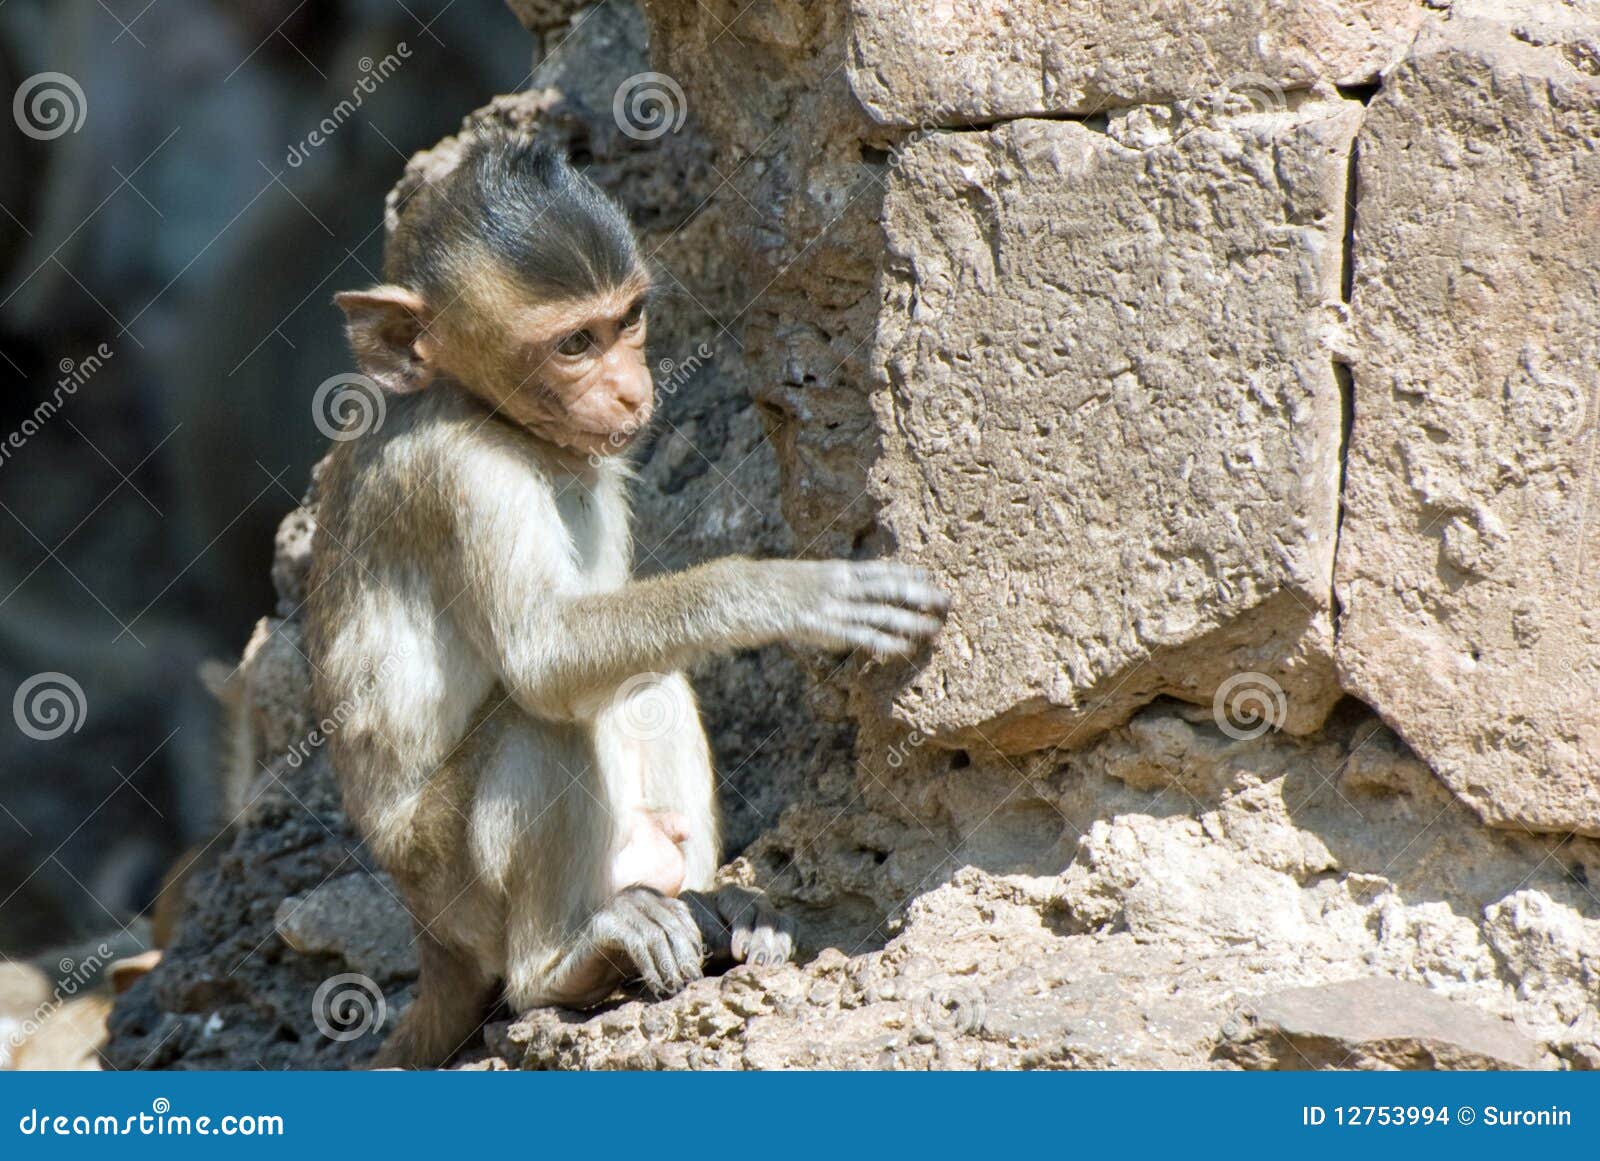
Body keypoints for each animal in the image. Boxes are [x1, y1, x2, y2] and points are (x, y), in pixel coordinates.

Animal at [304, 129, 948, 1069]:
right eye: (574, 343)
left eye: (629, 319)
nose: (631, 390)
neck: (493, 416)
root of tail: (430, 942)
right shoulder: (461, 473)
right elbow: (545, 659)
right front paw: (778, 591)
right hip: (453, 888)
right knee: (540, 720)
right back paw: (563, 963)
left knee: (647, 679)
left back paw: (713, 906)